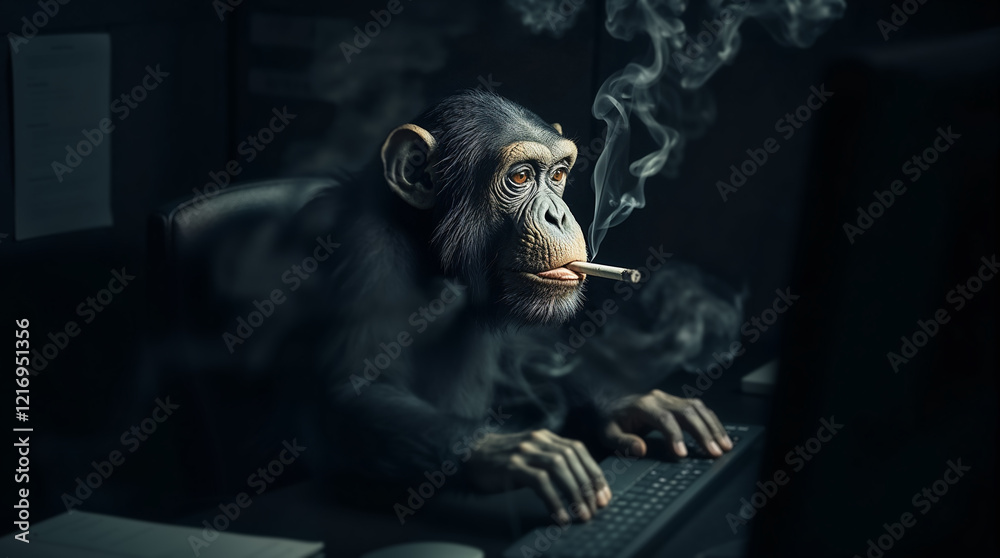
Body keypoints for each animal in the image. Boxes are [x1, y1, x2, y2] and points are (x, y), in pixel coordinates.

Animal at [285, 90, 735, 523]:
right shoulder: (362, 249)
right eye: (520, 176)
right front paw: (514, 454)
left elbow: (523, 352)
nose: (558, 215)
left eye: (558, 175)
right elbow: (352, 392)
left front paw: (628, 403)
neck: (423, 240)